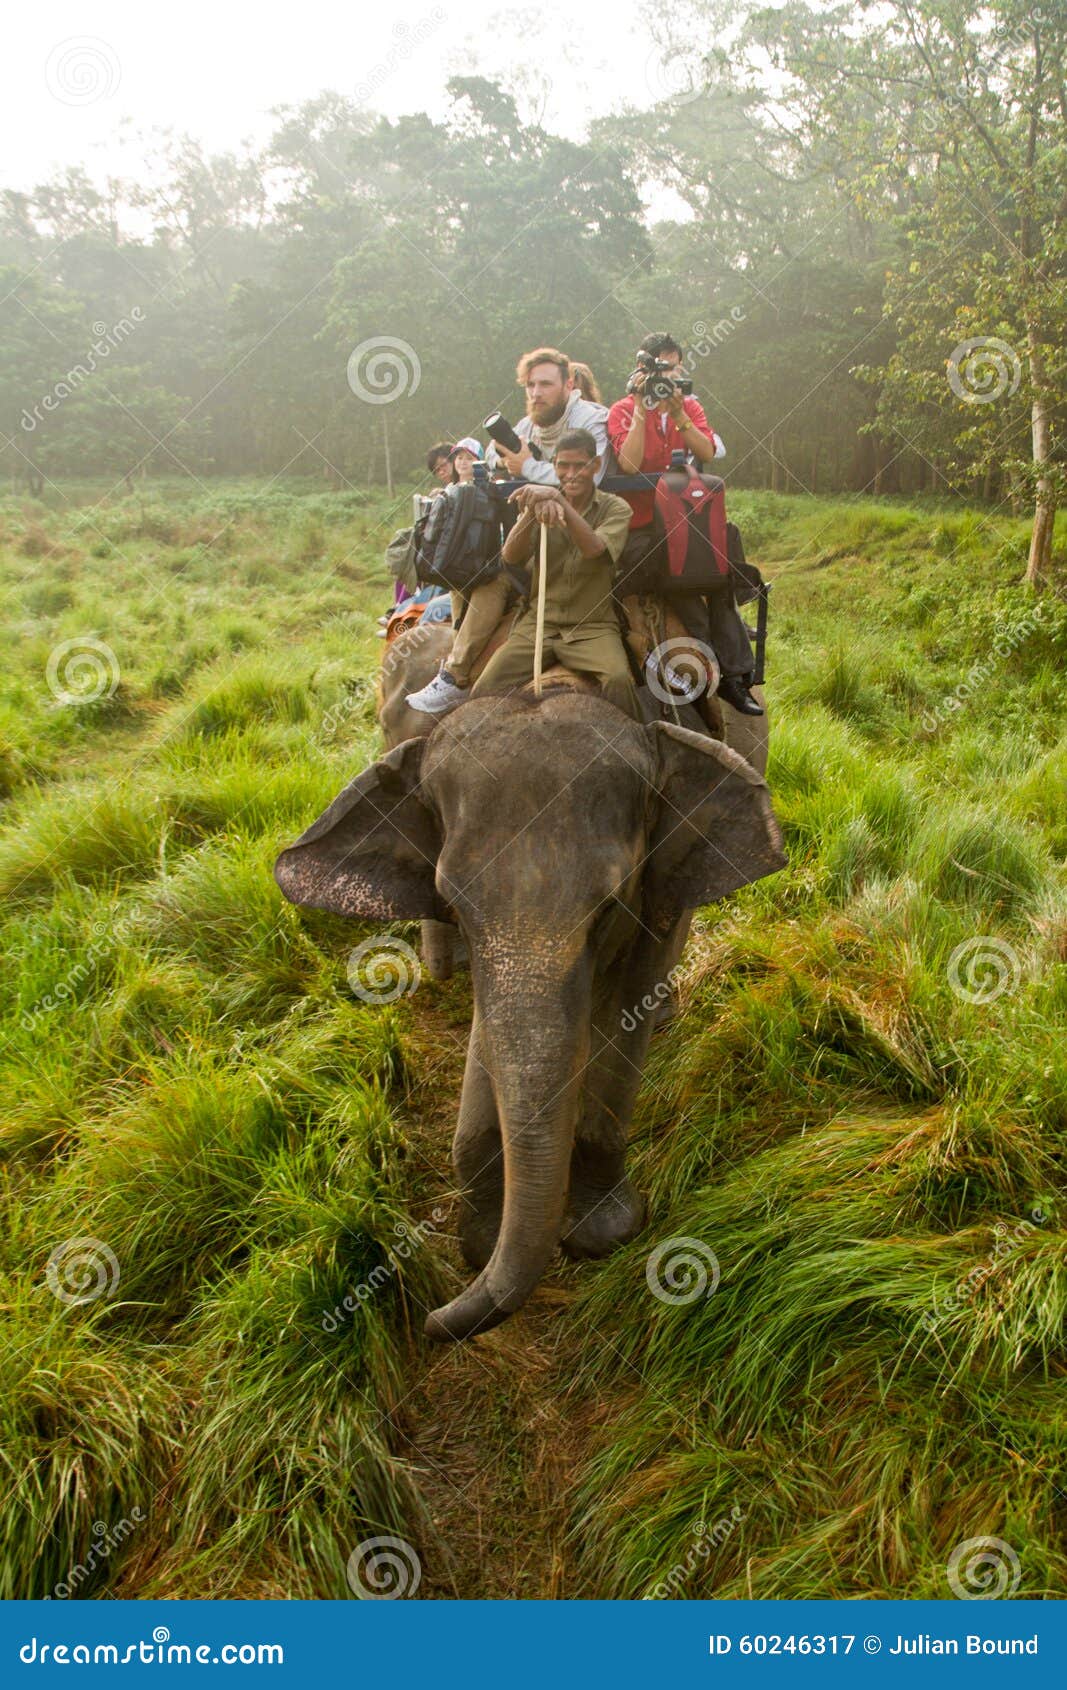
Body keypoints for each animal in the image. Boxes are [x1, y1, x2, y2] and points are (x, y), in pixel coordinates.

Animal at [274, 682, 785, 1344]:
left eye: (608, 907)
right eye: (453, 906)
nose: (428, 1321)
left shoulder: (657, 880)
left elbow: (627, 1008)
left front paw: (601, 1234)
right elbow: (488, 1037)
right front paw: (480, 1239)